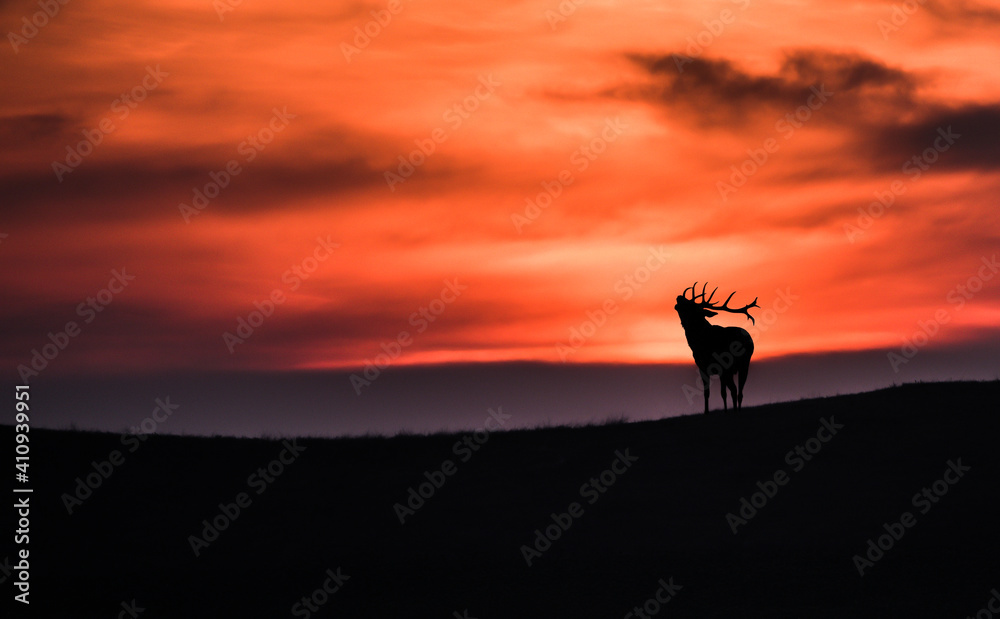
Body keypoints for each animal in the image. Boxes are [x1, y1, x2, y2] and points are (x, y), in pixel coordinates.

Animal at [674, 282, 758, 414]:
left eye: (691, 306)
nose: (679, 296)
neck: (698, 344)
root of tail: (748, 340)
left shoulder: (713, 367)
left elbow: (716, 392)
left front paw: (715, 411)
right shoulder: (710, 369)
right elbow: (714, 393)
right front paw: (715, 411)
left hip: (736, 365)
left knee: (736, 390)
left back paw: (736, 411)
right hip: (739, 366)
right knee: (738, 391)